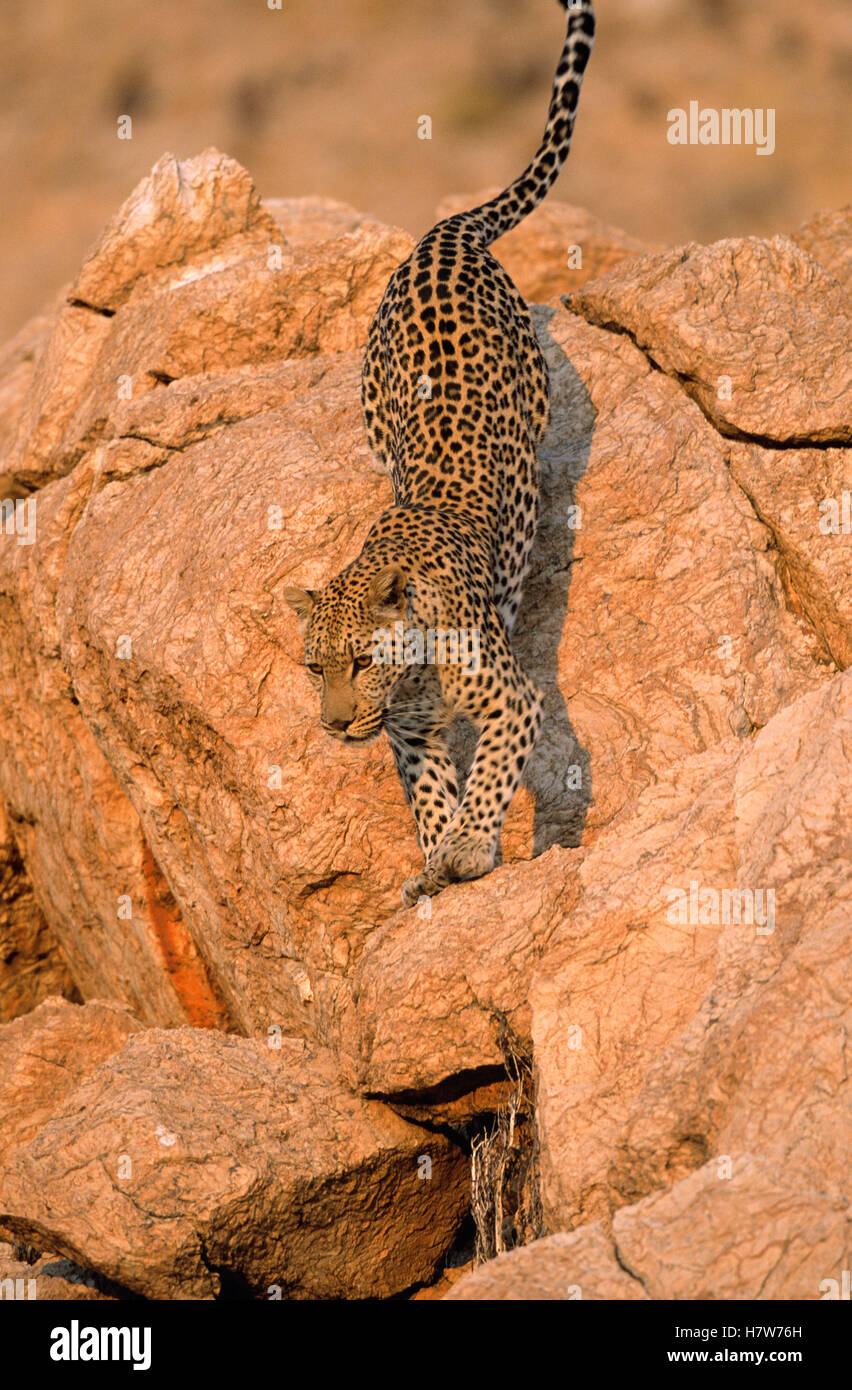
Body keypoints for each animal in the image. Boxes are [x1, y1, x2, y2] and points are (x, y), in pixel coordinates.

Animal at [285, 0, 595, 906]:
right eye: (314, 669)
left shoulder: (511, 700)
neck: (415, 674)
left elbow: (491, 771)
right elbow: (429, 790)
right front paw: (433, 856)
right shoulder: (409, 734)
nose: (335, 725)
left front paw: (466, 849)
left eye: (360, 660)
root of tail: (442, 233)